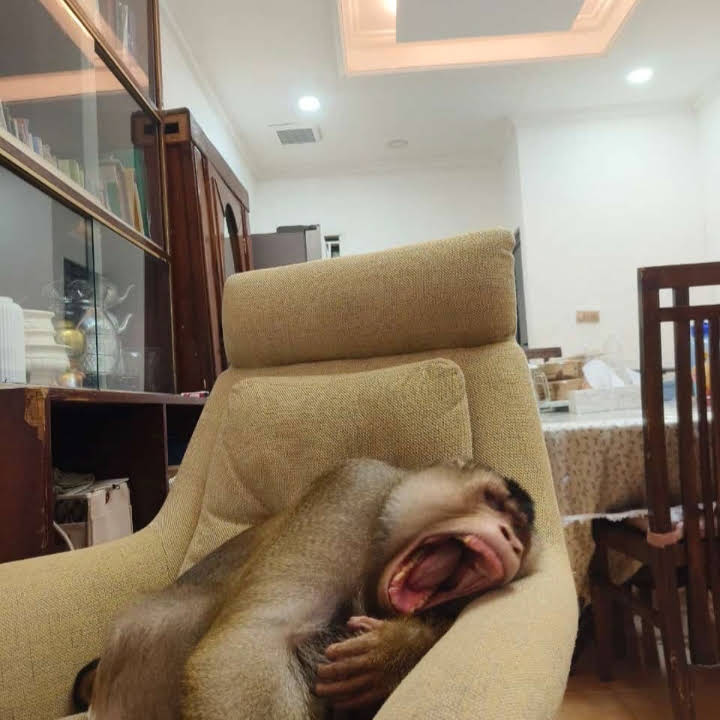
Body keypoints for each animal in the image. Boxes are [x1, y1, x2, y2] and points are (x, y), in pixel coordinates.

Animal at [78, 458, 535, 719]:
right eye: (494, 501)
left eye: (518, 531)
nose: (509, 540)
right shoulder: (352, 493)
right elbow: (247, 646)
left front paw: (396, 650)